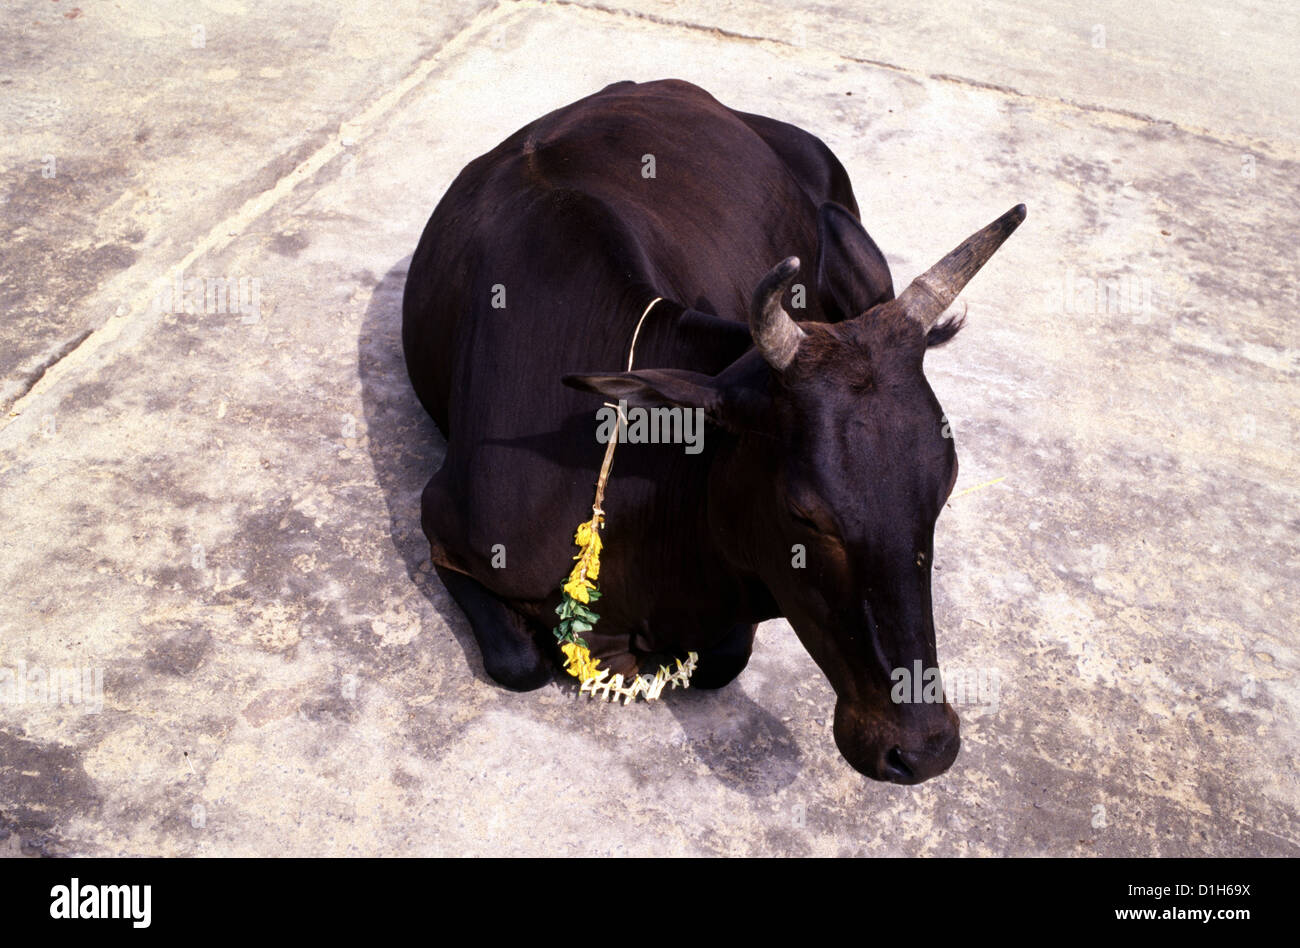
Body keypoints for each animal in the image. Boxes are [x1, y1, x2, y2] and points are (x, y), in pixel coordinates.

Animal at [402, 79, 1024, 783]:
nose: (923, 748)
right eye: (802, 512)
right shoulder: (441, 527)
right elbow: (518, 665)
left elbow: (724, 659)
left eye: (944, 488)